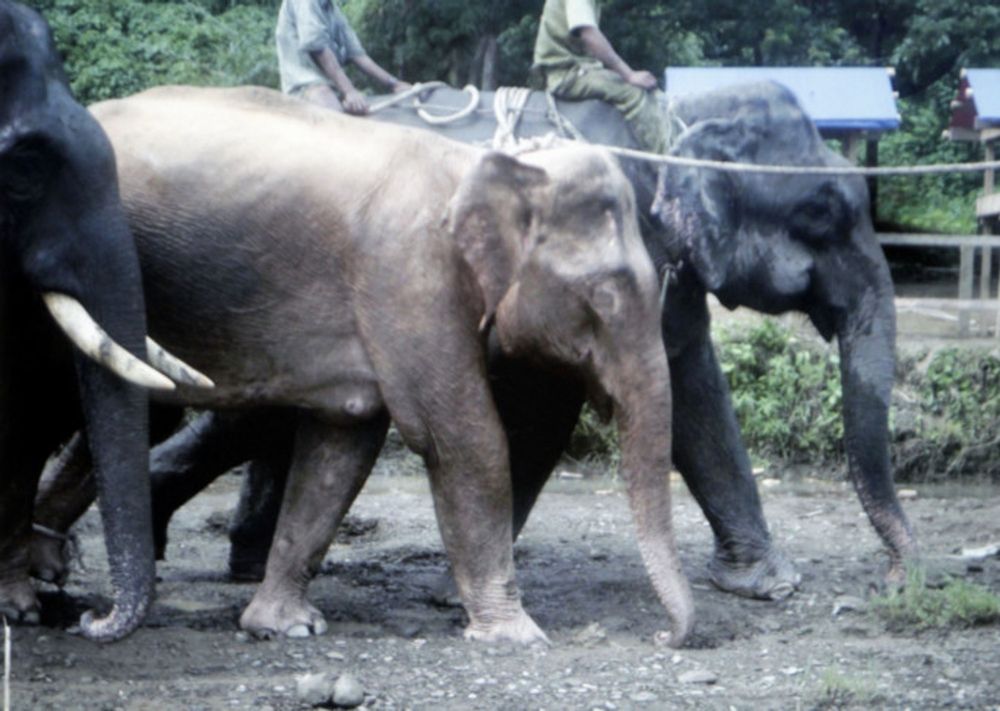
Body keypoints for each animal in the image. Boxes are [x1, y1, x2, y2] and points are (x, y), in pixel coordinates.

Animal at [30, 85, 695, 645]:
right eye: (603, 297)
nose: (666, 638)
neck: (483, 163)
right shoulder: (410, 277)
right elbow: (463, 440)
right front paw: (517, 638)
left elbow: (342, 443)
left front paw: (285, 627)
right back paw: (36, 593)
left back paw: (47, 573)